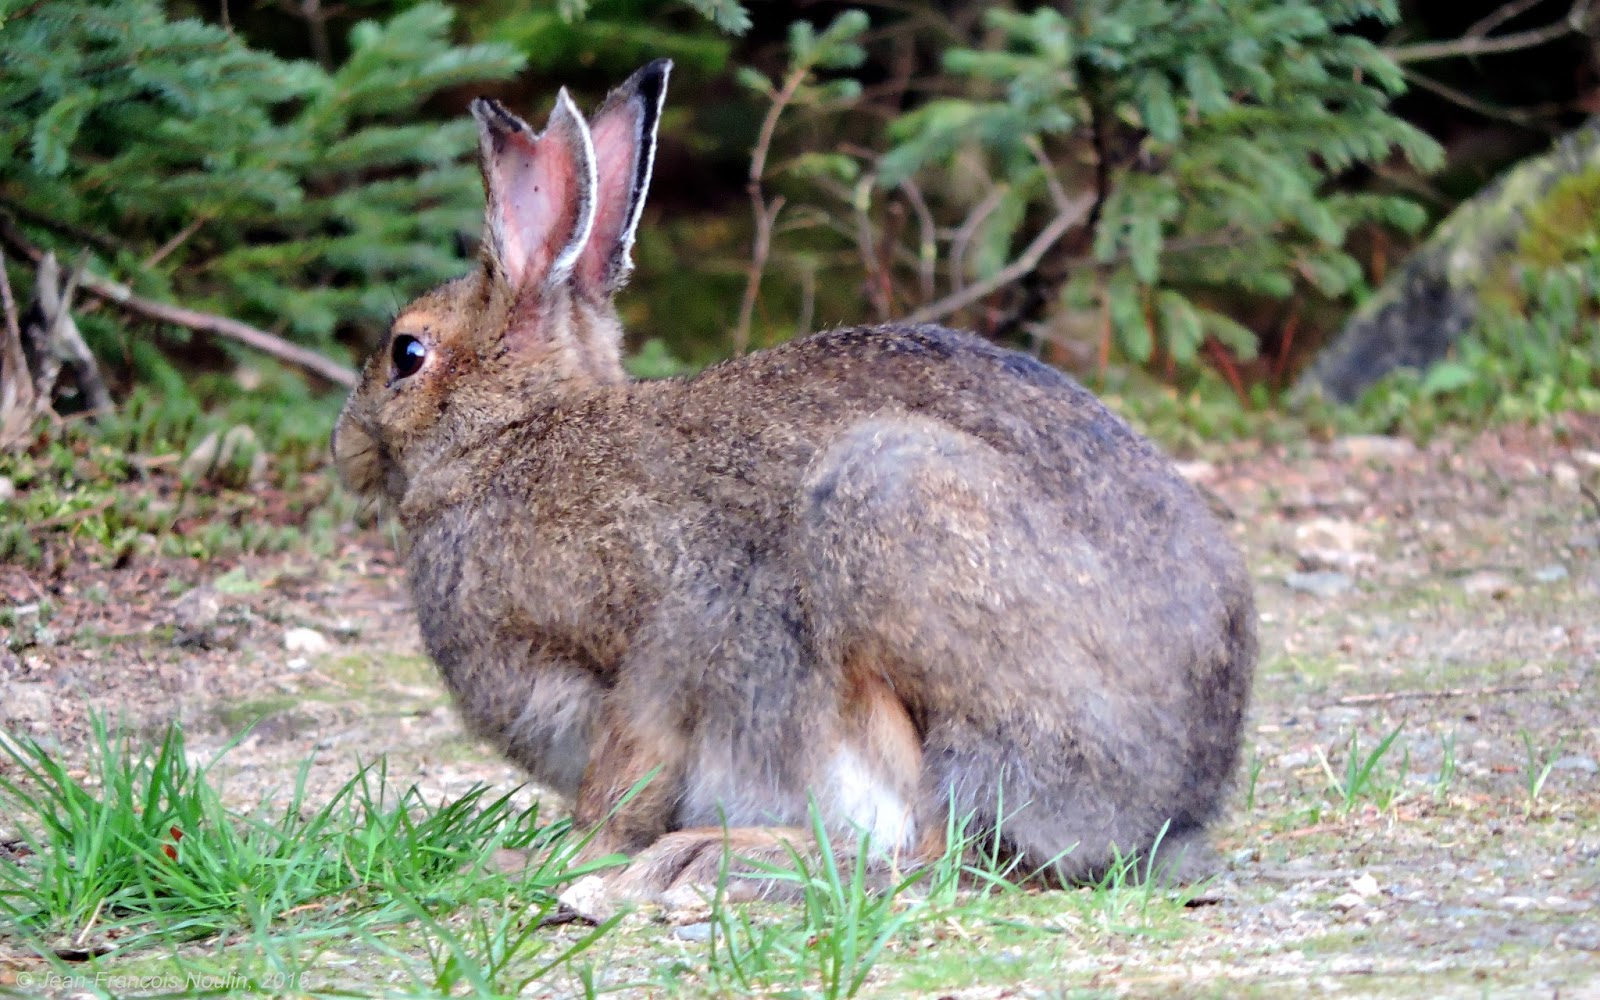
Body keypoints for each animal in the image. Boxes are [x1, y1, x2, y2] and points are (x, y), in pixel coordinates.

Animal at [332, 58, 1257, 897]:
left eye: (406, 354)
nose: (344, 447)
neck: (514, 434)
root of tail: (1166, 808)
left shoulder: (663, 638)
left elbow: (626, 773)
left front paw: (558, 860)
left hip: (888, 512)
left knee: (934, 845)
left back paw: (720, 858)